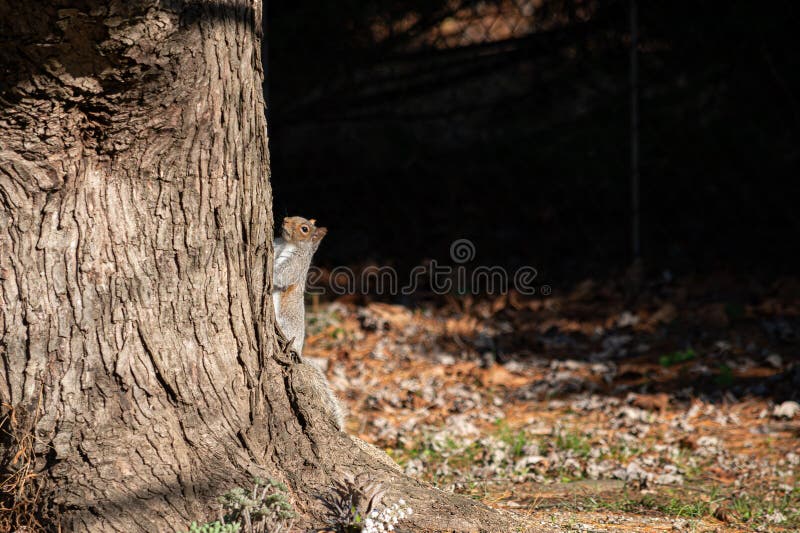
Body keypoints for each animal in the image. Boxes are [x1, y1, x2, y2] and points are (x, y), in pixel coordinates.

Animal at [272, 216, 344, 430]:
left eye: (304, 229)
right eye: (291, 216)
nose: (284, 221)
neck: (287, 243)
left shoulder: (295, 265)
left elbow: (280, 275)